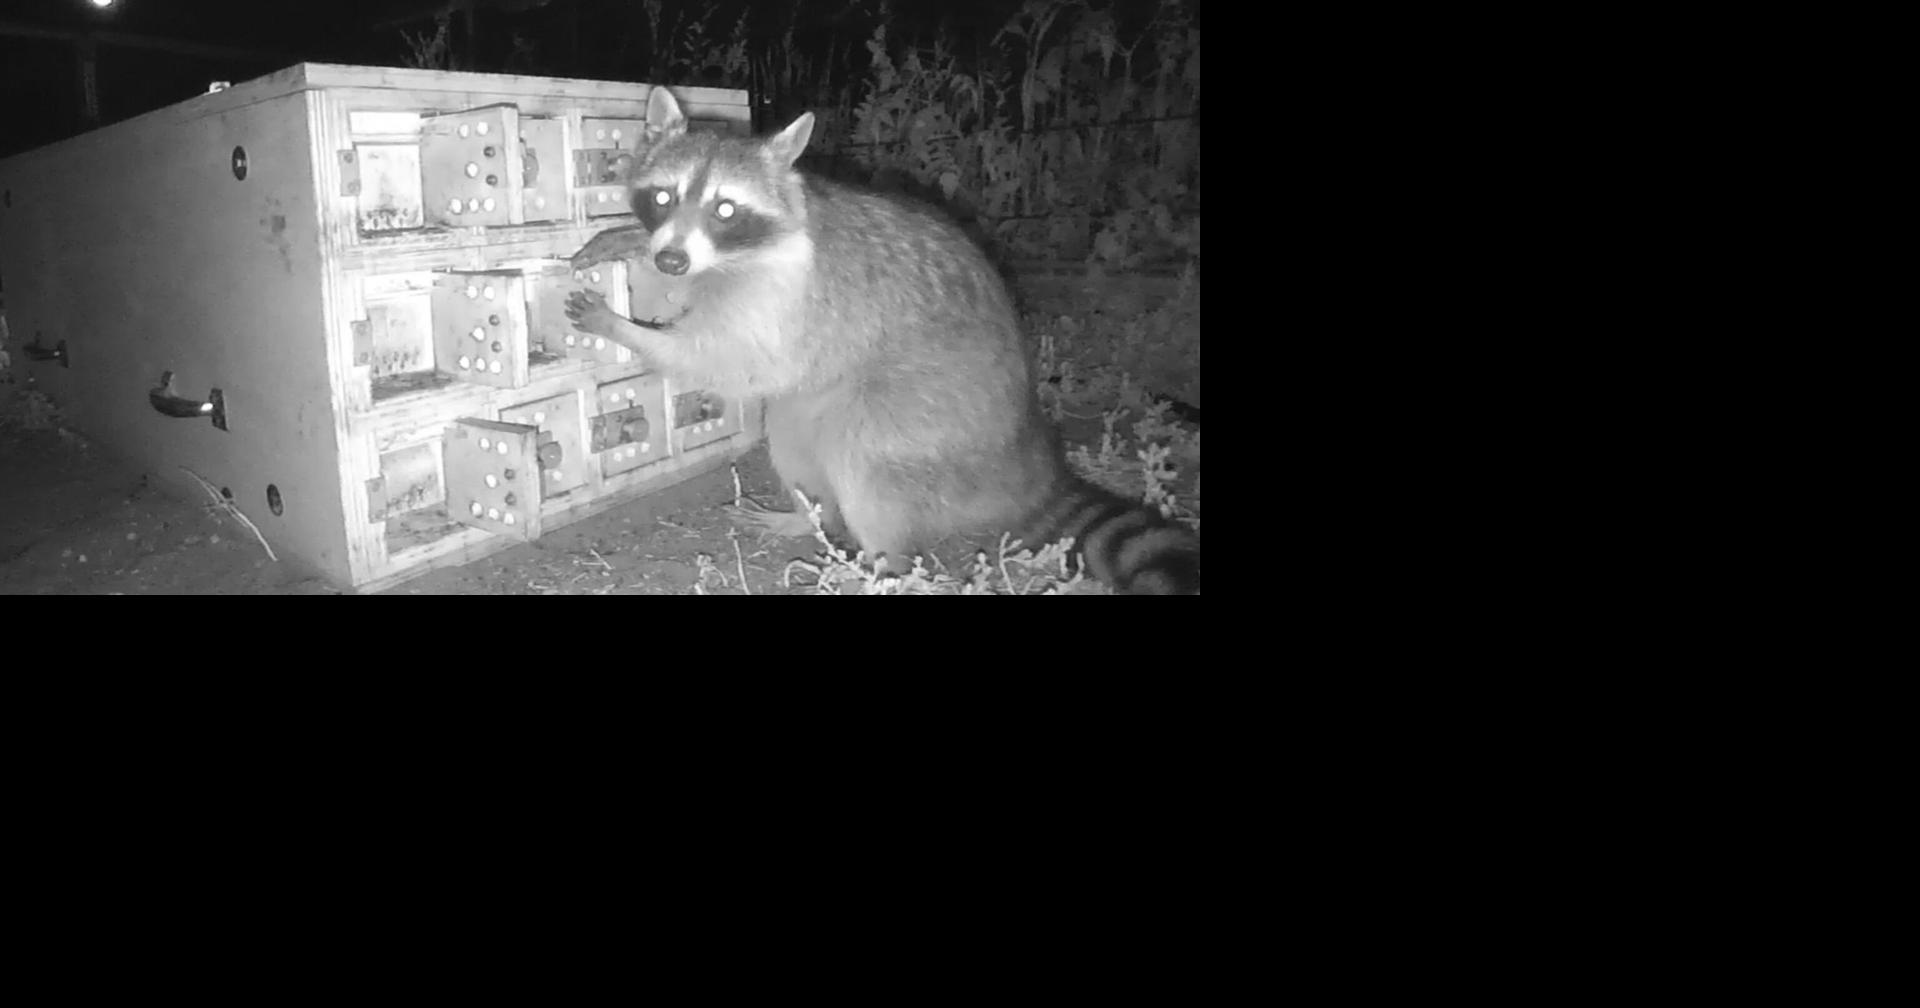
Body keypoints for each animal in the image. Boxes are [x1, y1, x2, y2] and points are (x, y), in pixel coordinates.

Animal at [564, 87, 1199, 594]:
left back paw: (879, 564)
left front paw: (625, 329)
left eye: (725, 208)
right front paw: (627, 240)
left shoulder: (778, 300)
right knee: (792, 435)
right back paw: (809, 517)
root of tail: (1025, 446)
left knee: (865, 461)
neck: (735, 254)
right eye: (664, 198)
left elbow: (723, 360)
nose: (670, 260)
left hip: (928, 415)